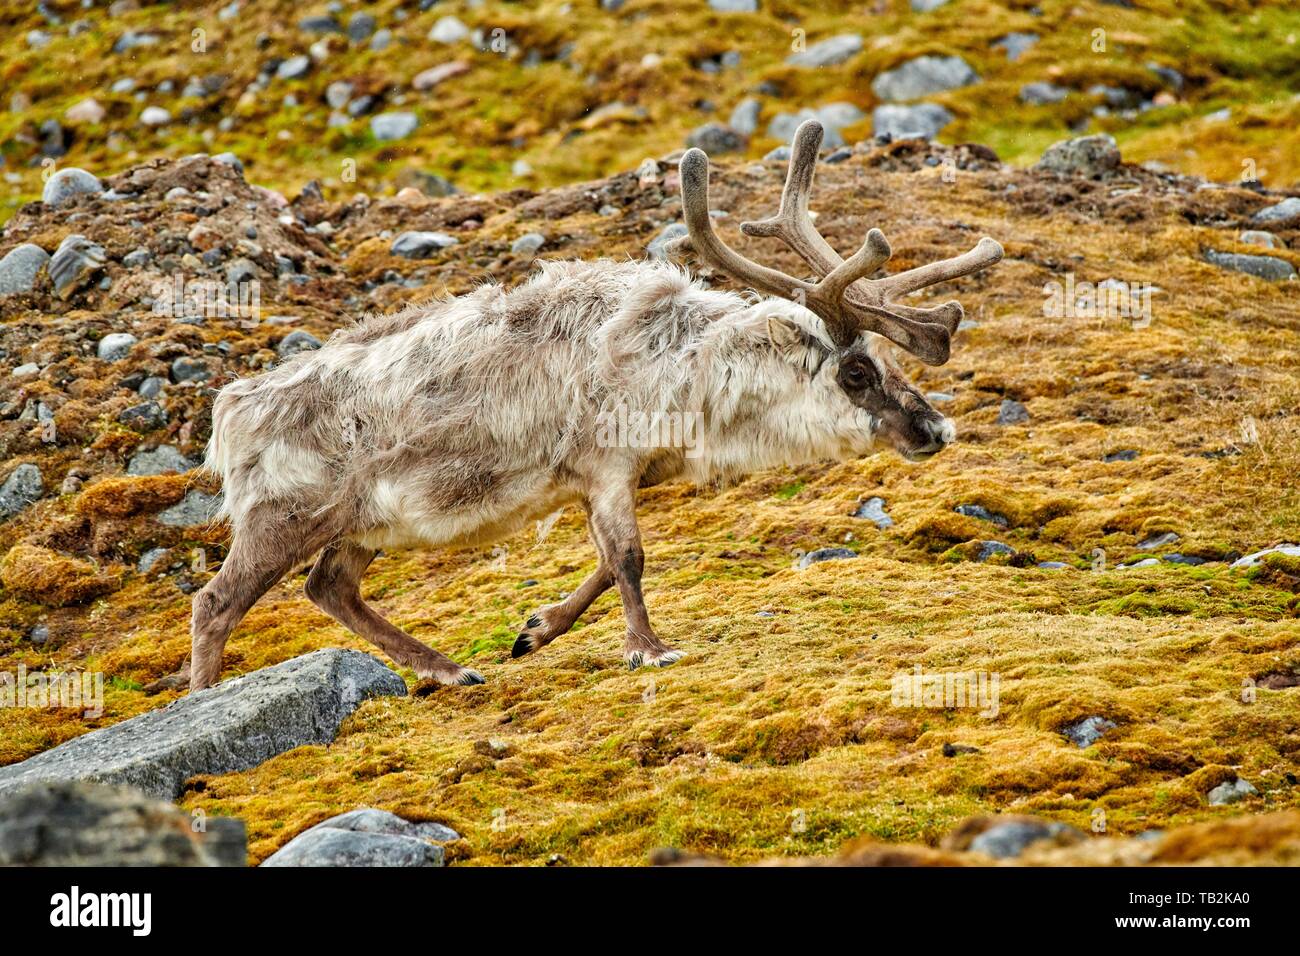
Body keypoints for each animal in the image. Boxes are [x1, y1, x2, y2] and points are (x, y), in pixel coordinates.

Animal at [180, 120, 1003, 692]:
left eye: (891, 360)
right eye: (856, 371)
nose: (935, 427)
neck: (679, 375)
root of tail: (227, 415)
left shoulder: (606, 477)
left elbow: (605, 563)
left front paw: (535, 630)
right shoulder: (606, 463)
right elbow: (629, 559)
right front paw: (649, 649)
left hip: (363, 524)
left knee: (329, 586)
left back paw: (450, 668)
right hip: (286, 513)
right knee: (216, 601)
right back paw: (205, 697)